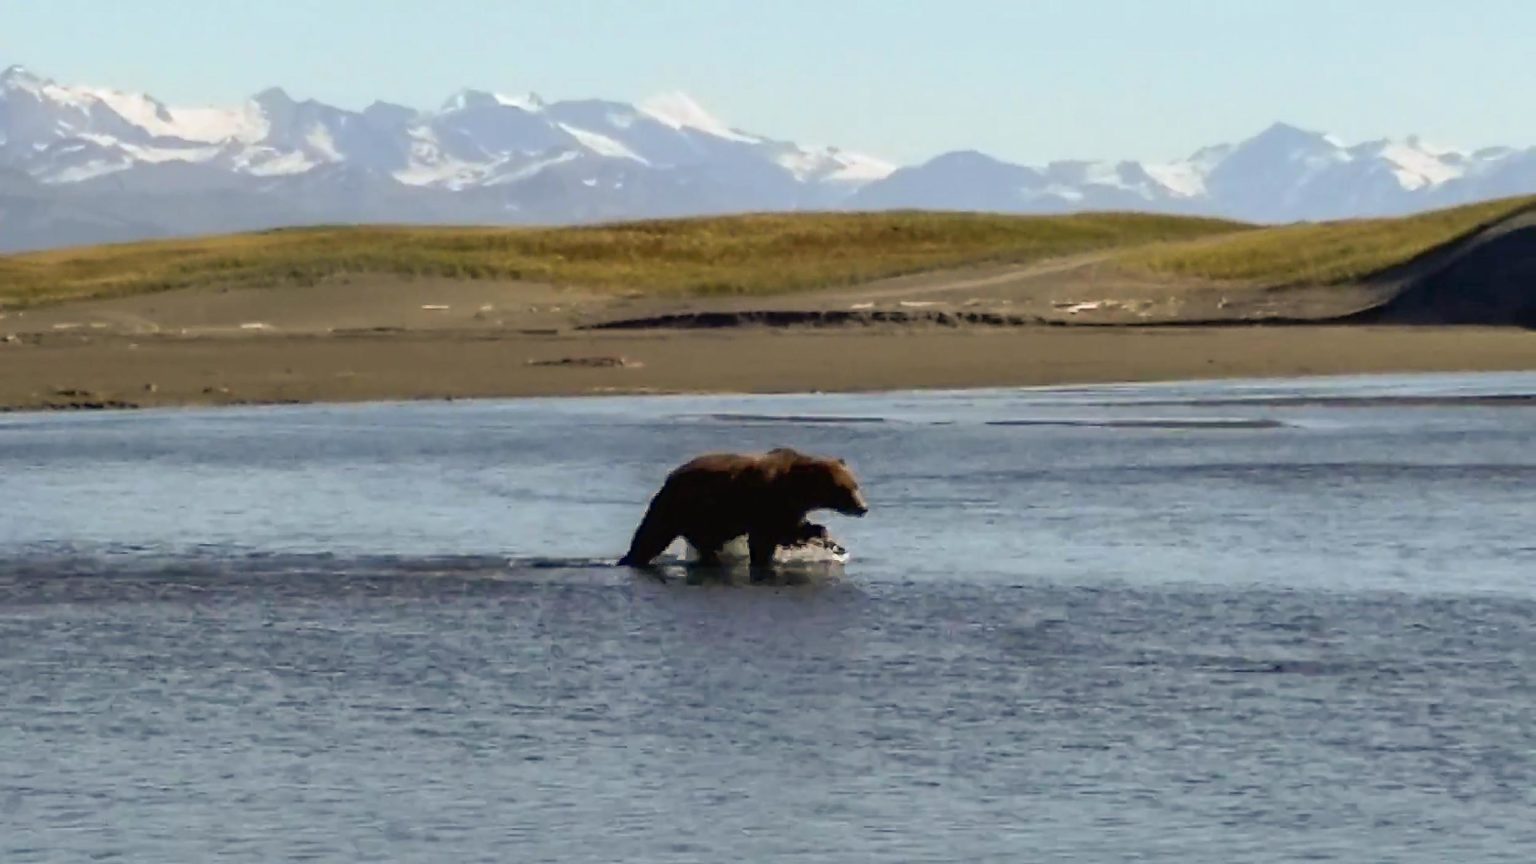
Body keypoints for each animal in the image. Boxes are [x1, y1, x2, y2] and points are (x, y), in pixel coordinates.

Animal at [617, 447, 868, 568]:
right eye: (846, 488)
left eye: (856, 484)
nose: (863, 507)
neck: (796, 487)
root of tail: (669, 478)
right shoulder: (765, 501)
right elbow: (767, 536)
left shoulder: (790, 506)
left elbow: (794, 528)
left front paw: (826, 538)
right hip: (682, 505)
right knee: (652, 535)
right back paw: (630, 559)